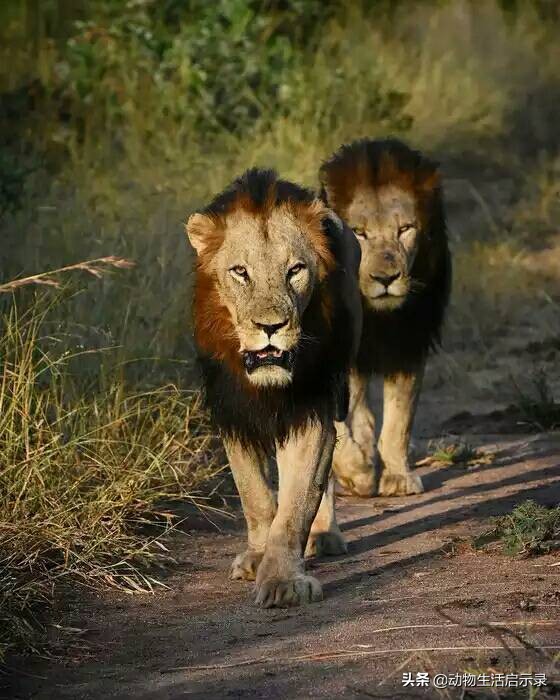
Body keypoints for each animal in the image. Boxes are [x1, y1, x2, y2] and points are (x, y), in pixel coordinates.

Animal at [186, 168, 362, 607]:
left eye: (295, 270)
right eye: (240, 272)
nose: (271, 327)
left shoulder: (311, 410)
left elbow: (296, 503)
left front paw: (283, 580)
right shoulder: (232, 414)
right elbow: (255, 496)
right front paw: (256, 557)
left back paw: (325, 535)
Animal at [319, 138, 451, 497]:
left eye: (404, 229)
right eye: (359, 233)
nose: (386, 278)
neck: (377, 317)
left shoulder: (409, 343)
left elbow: (399, 420)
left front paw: (398, 477)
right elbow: (339, 425)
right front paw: (357, 472)